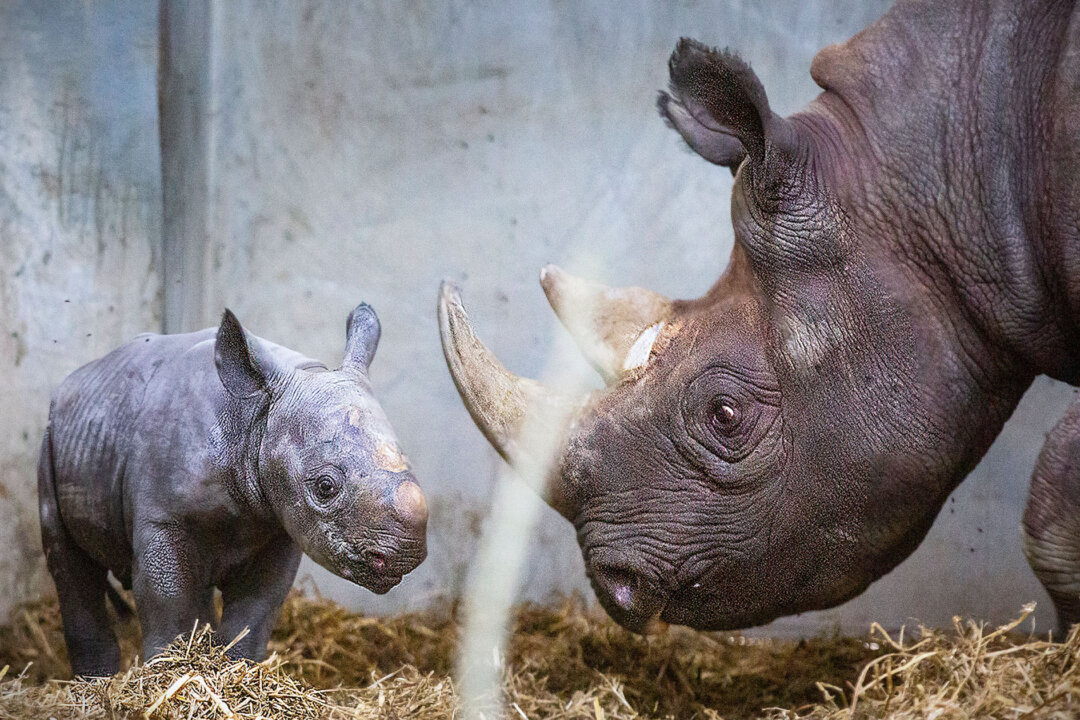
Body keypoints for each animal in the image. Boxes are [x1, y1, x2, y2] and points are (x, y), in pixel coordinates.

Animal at [39, 305, 428, 677]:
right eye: (325, 487)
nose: (404, 555)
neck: (257, 418)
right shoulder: (163, 518)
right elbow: (167, 599)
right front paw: (168, 671)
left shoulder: (279, 523)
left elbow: (257, 608)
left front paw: (235, 670)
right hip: (52, 437)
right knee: (71, 565)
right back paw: (94, 682)